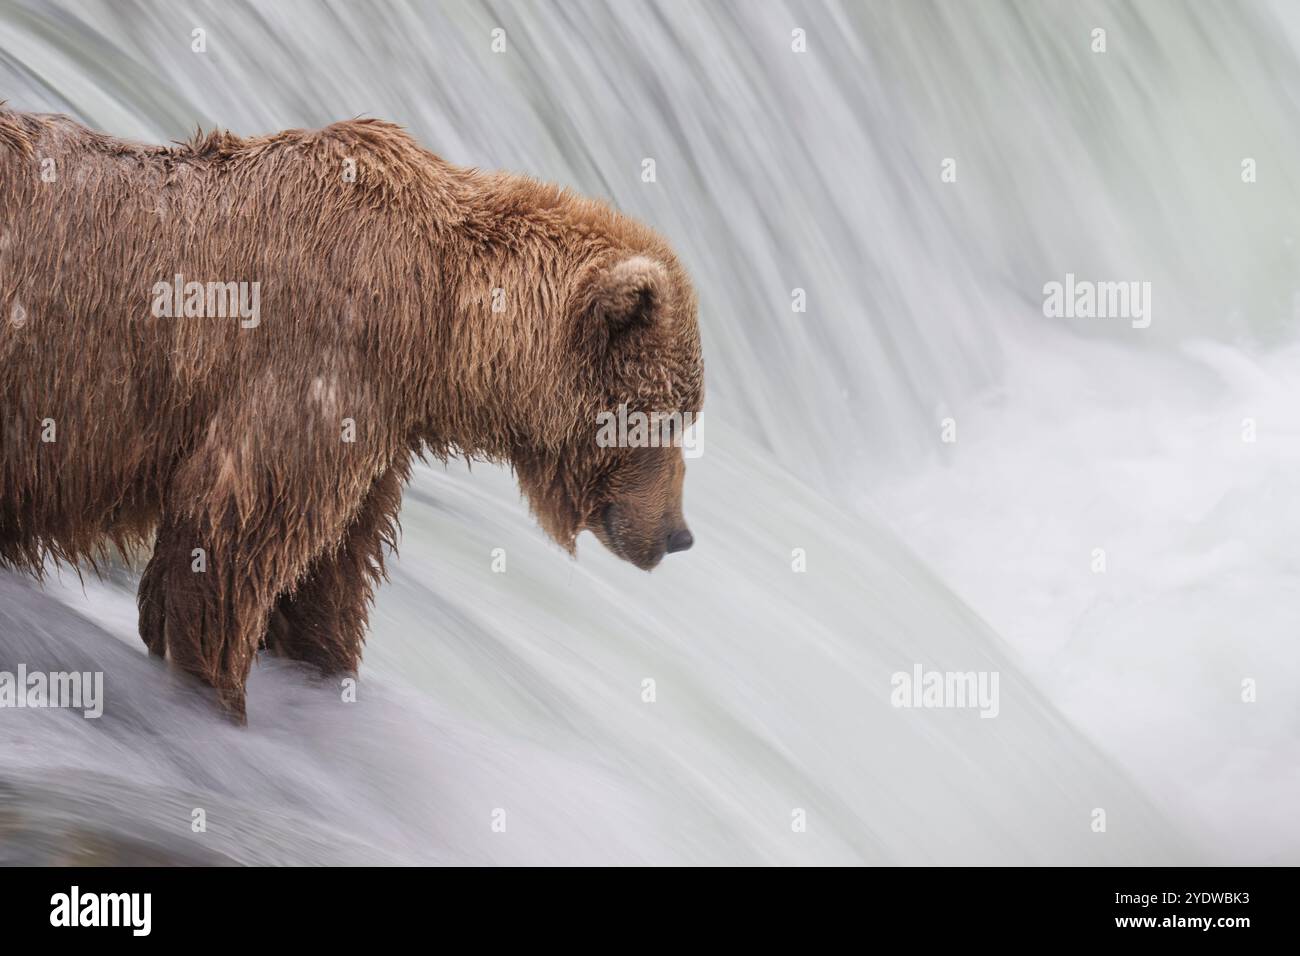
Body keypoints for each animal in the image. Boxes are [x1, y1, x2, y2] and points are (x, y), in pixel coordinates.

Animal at [0, 106, 703, 720]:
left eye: (687, 417)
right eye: (667, 418)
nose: (678, 534)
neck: (439, 323)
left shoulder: (377, 432)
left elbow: (327, 580)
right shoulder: (319, 366)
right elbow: (225, 542)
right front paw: (218, 699)